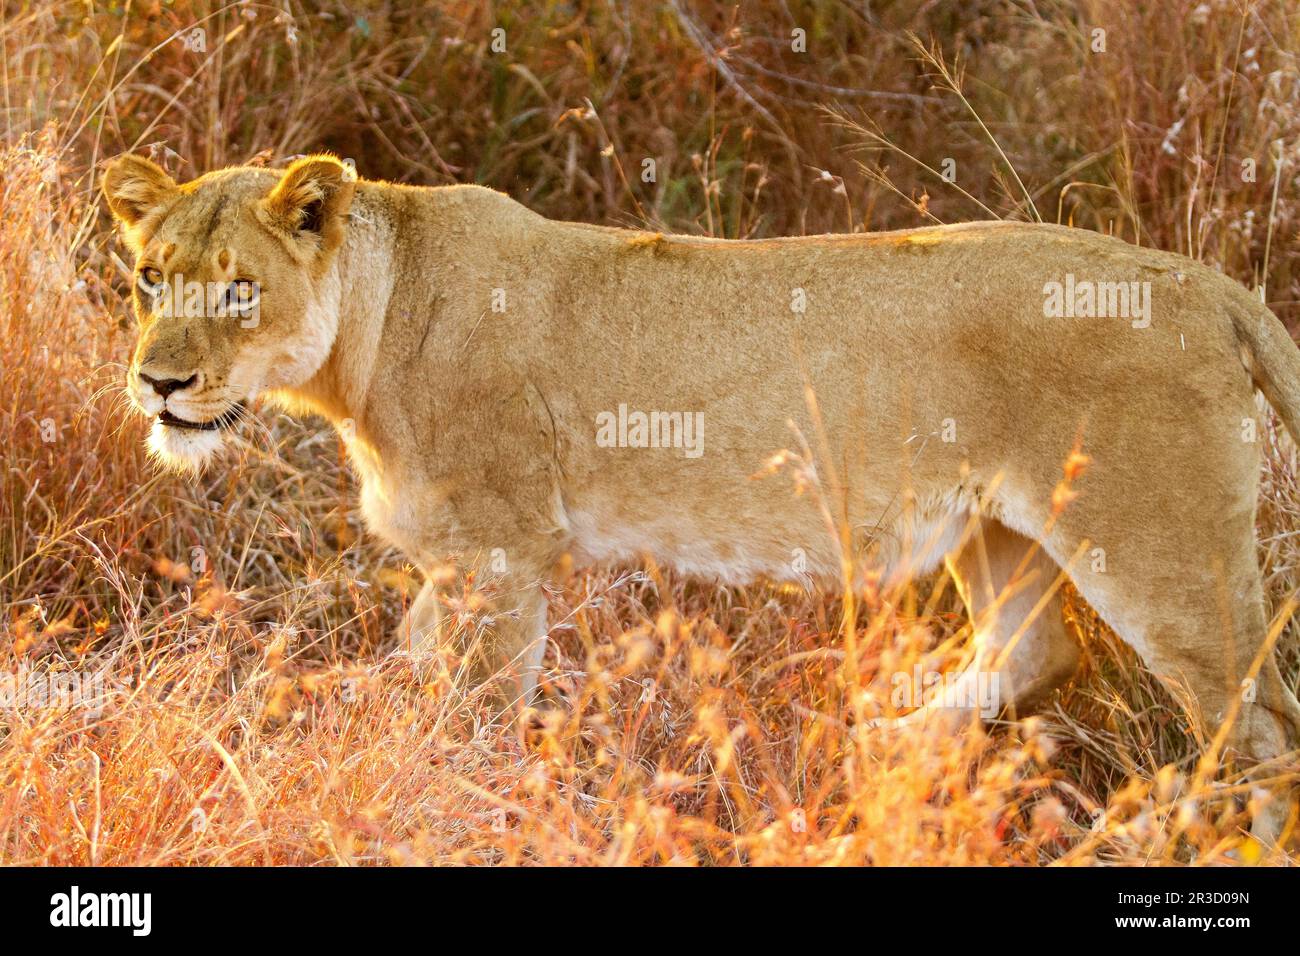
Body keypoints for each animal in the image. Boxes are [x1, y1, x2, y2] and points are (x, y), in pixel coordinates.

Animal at [103, 153, 1300, 842]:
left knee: (1262, 724)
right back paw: (881, 747)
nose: (157, 383)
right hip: (996, 527)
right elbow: (417, 674)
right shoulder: (455, 563)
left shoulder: (498, 556)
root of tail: (1208, 284)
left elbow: (472, 715)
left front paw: (448, 804)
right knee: (1040, 651)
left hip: (1156, 550)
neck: (365, 336)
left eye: (239, 290)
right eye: (150, 278)